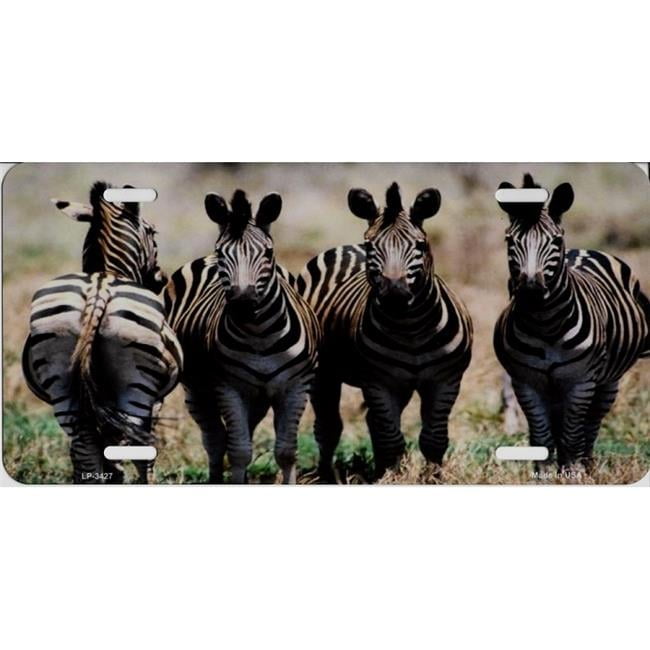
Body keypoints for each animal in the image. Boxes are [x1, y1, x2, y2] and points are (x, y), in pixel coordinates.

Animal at [22, 182, 183, 484]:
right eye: (153, 232)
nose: (161, 279)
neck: (107, 270)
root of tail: (98, 292)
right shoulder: (156, 400)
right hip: (137, 387)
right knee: (138, 448)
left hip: (61, 382)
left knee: (83, 447)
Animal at [163, 189, 320, 484]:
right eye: (221, 253)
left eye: (268, 252)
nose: (243, 304)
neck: (259, 336)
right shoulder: (228, 388)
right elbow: (238, 451)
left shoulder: (296, 386)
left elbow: (286, 452)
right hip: (198, 390)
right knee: (215, 440)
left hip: (257, 397)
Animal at [297, 182, 473, 481]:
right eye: (371, 246)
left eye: (420, 245)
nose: (395, 295)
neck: (411, 328)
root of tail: (345, 248)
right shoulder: (379, 382)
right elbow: (391, 439)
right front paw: (393, 479)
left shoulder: (446, 380)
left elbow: (433, 439)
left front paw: (431, 479)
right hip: (325, 372)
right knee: (329, 427)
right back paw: (327, 476)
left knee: (371, 422)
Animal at [494, 173, 650, 471]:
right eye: (509, 240)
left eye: (555, 240)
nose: (531, 291)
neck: (545, 325)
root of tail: (585, 250)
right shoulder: (526, 383)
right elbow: (542, 437)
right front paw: (543, 474)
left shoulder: (581, 382)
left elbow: (572, 436)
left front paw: (573, 473)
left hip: (607, 382)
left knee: (591, 424)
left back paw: (587, 466)